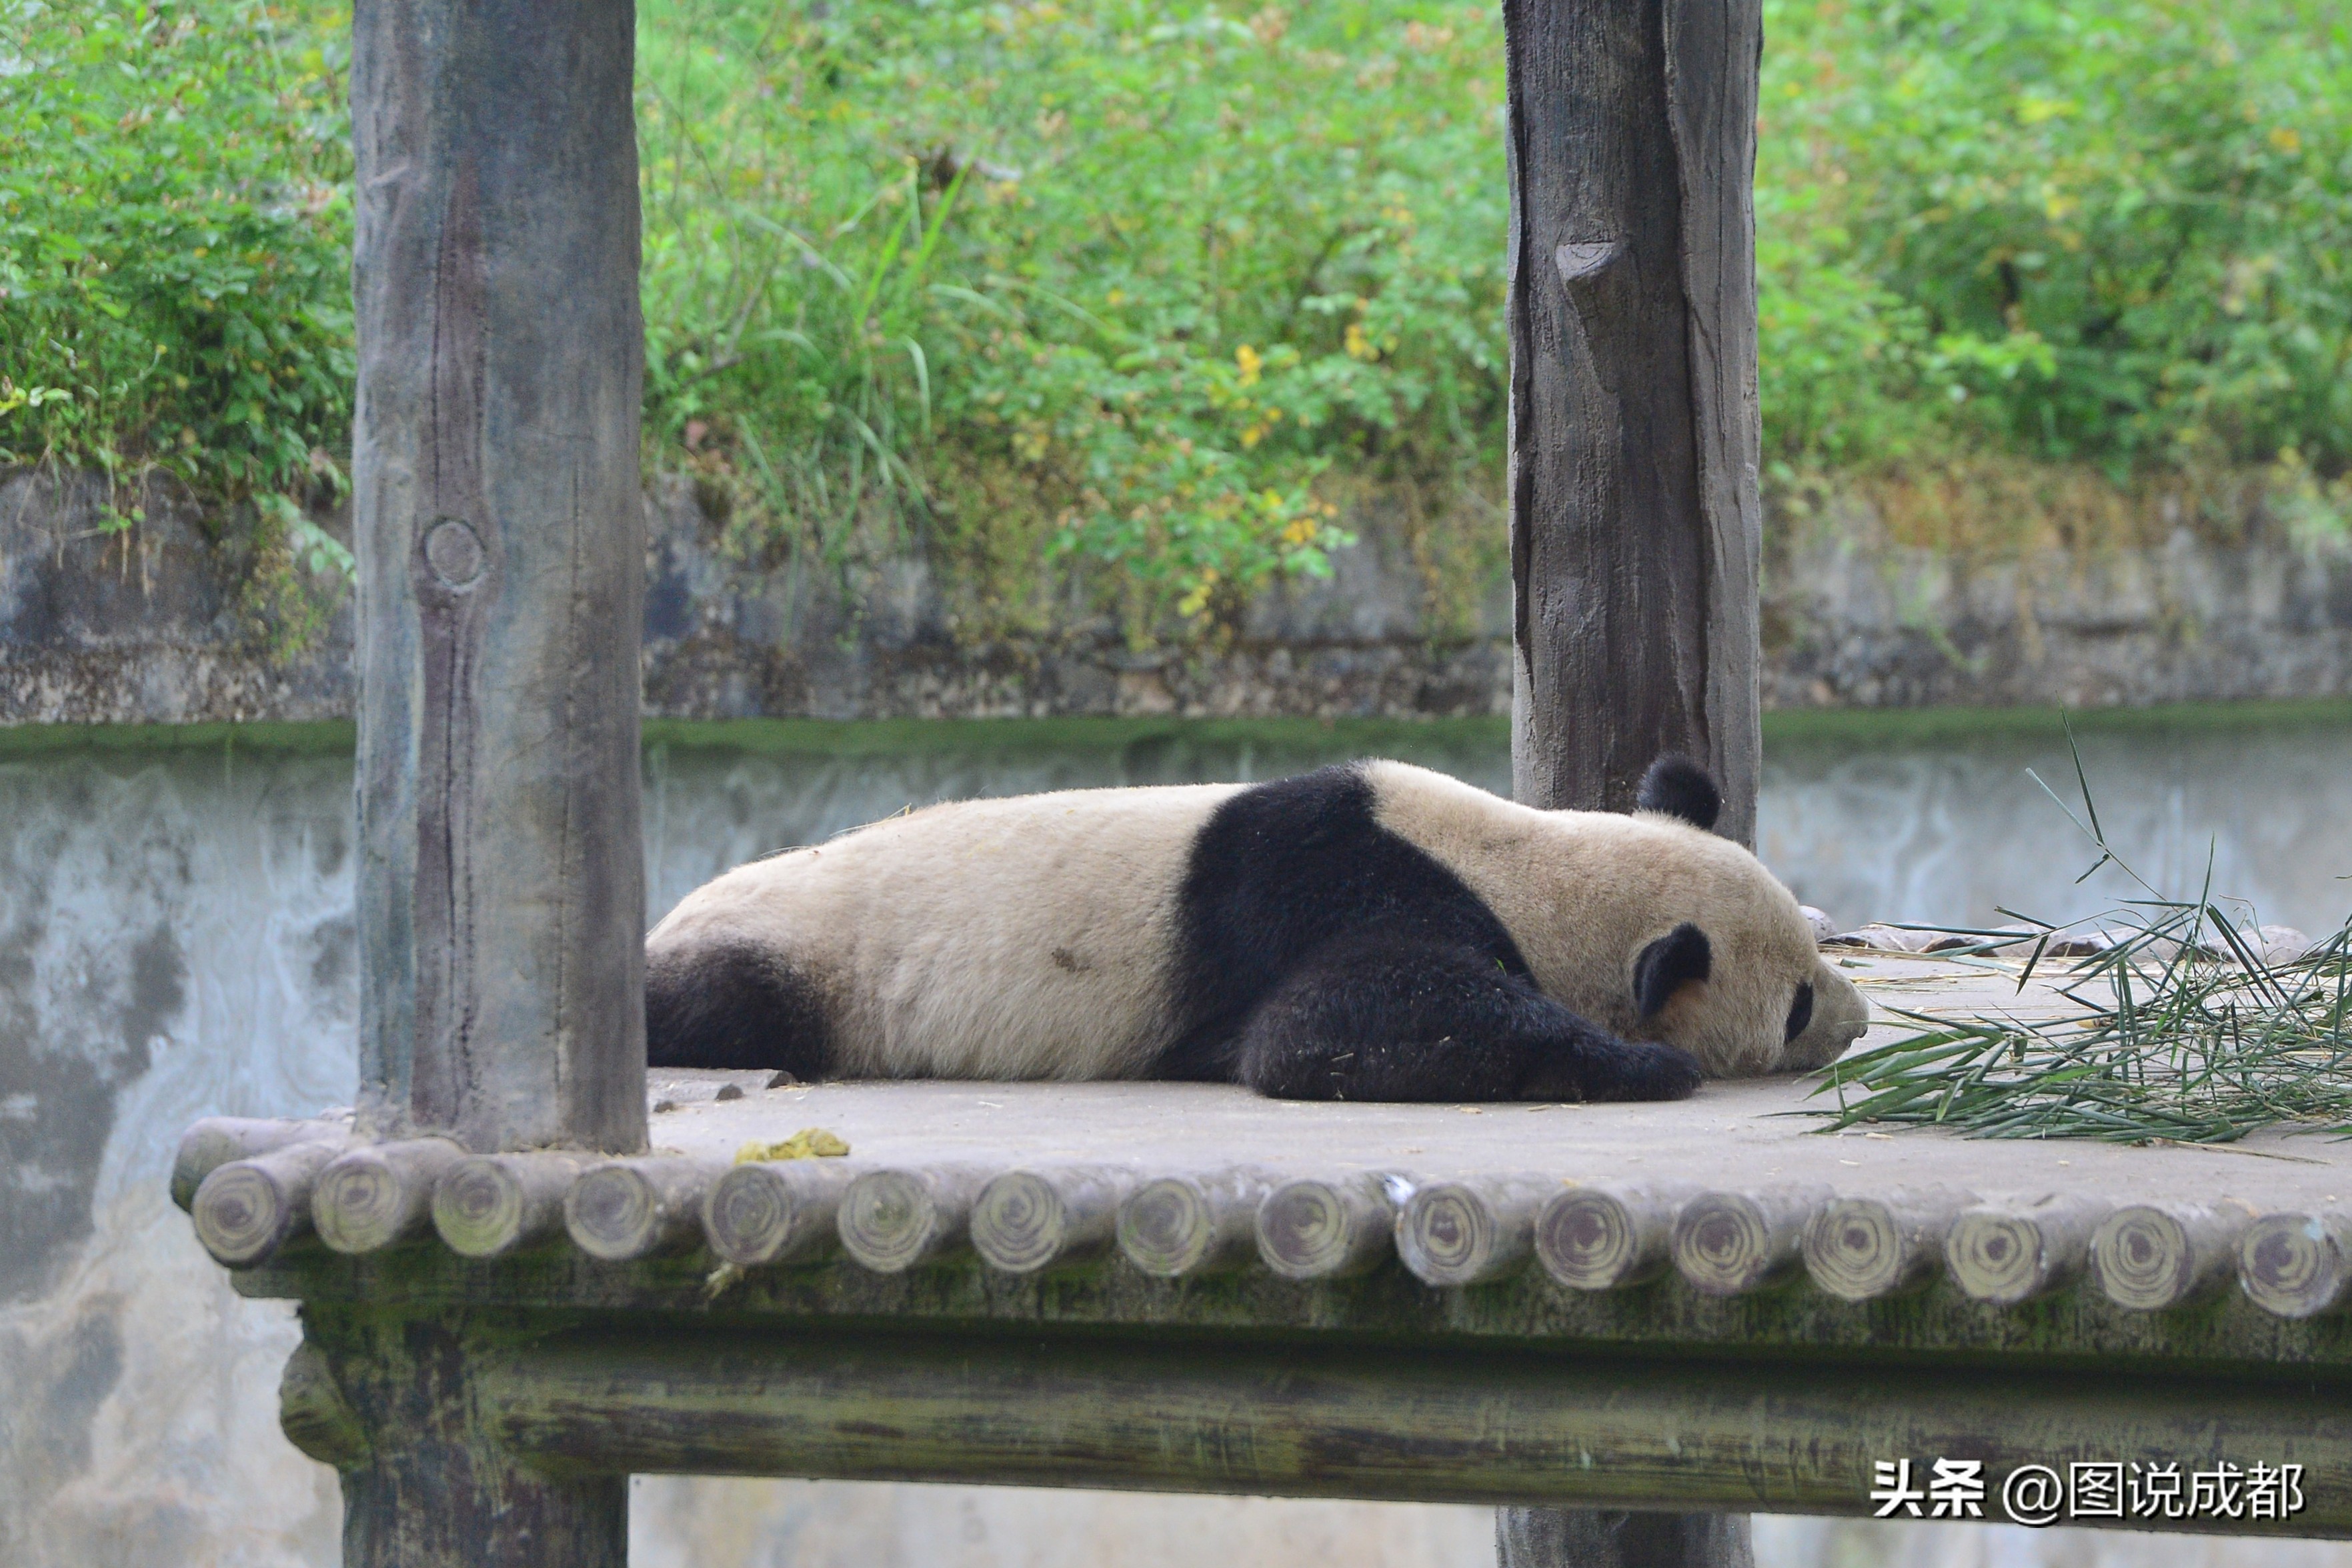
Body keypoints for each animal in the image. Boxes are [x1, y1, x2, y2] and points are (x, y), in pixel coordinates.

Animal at [644, 755, 1870, 1103]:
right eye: (1794, 1002)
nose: (1854, 1022)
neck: (1525, 864)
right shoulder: (1342, 888)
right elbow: (1325, 1030)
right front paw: (1639, 1062)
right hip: (794, 957)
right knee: (712, 1003)